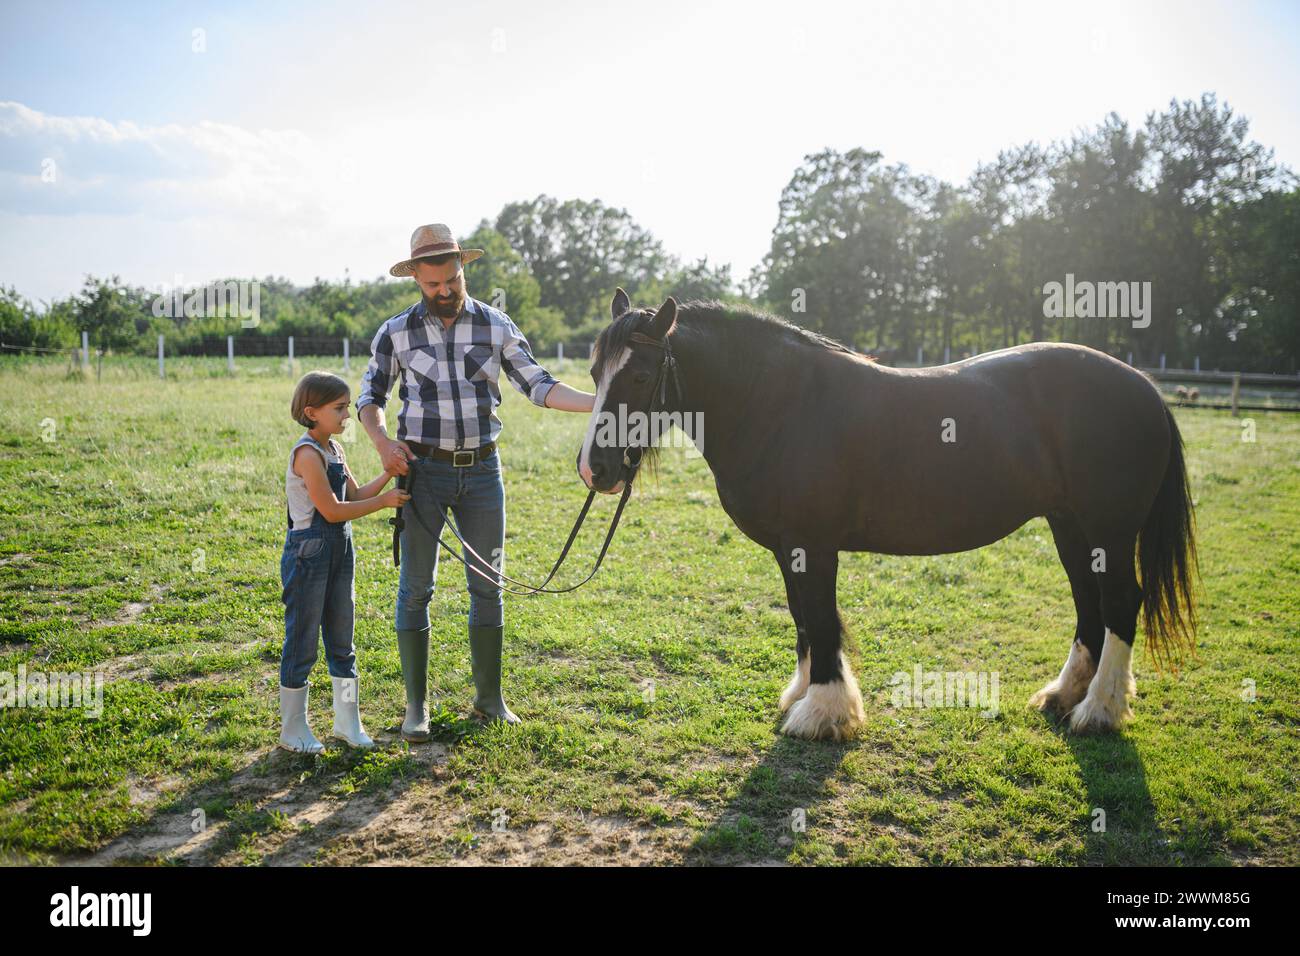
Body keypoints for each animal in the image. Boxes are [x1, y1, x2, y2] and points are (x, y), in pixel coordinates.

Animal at [578, 289, 1199, 741]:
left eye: (639, 376)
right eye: (593, 373)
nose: (594, 468)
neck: (778, 404)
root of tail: (1144, 386)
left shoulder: (813, 545)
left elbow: (821, 620)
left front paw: (823, 713)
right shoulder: (788, 547)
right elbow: (802, 619)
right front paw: (804, 695)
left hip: (1108, 530)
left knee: (1121, 603)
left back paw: (1100, 711)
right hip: (1070, 525)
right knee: (1088, 602)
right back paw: (1064, 696)